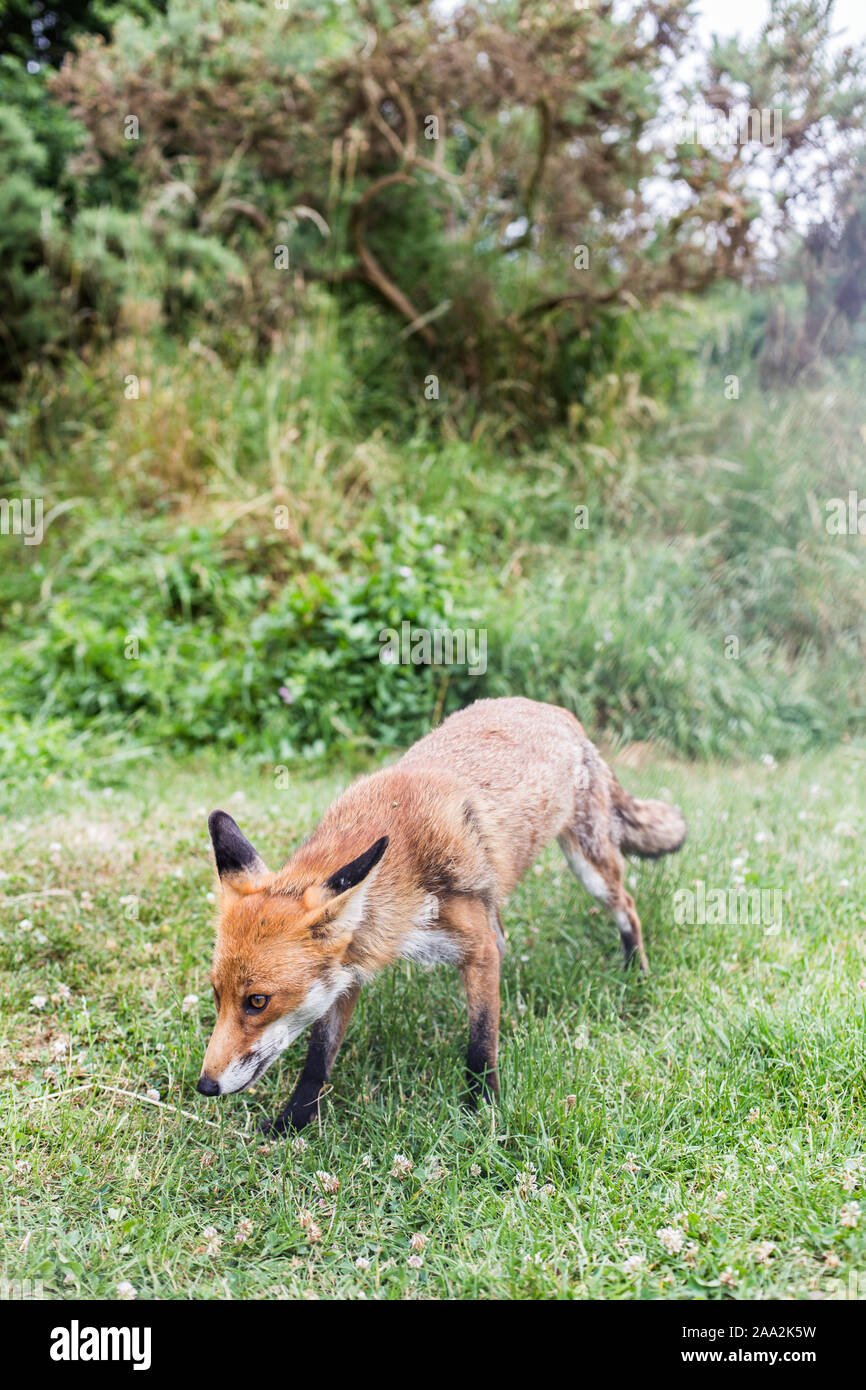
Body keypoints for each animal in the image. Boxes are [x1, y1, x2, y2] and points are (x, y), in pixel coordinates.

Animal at [197, 696, 686, 1134]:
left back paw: (636, 972)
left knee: (628, 909)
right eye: (217, 995)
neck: (404, 865)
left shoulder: (475, 949)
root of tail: (557, 711)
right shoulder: (349, 971)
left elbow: (481, 1043)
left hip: (590, 868)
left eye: (258, 1001)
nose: (205, 1086)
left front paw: (482, 1110)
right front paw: (293, 1121)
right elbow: (319, 1058)